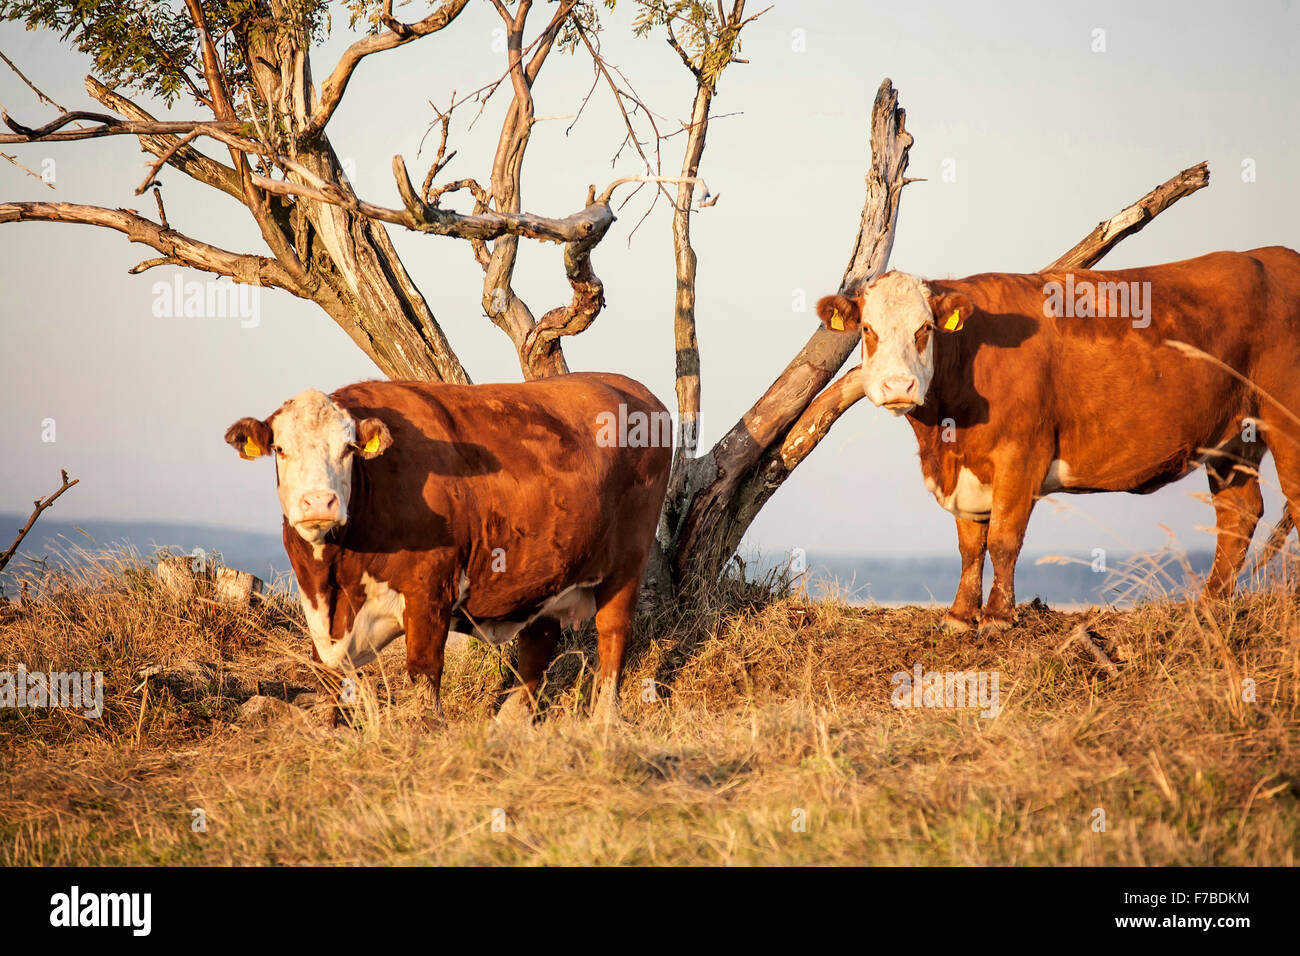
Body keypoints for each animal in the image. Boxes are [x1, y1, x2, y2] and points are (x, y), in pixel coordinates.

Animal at [224, 373, 671, 722]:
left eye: (349, 450)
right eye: (281, 449)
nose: (319, 502)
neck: (333, 576)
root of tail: (634, 390)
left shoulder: (430, 589)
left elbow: (424, 669)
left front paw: (424, 730)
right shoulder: (320, 611)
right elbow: (328, 676)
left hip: (626, 566)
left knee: (612, 633)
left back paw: (605, 720)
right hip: (546, 572)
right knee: (538, 642)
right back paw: (510, 724)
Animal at [815, 246, 1300, 636]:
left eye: (926, 329)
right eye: (868, 330)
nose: (899, 386)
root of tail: (1273, 254)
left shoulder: (1021, 454)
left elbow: (1003, 538)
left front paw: (997, 617)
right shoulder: (965, 471)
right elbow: (970, 544)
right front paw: (958, 615)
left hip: (1285, 421)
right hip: (1232, 438)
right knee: (1238, 513)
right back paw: (1209, 605)